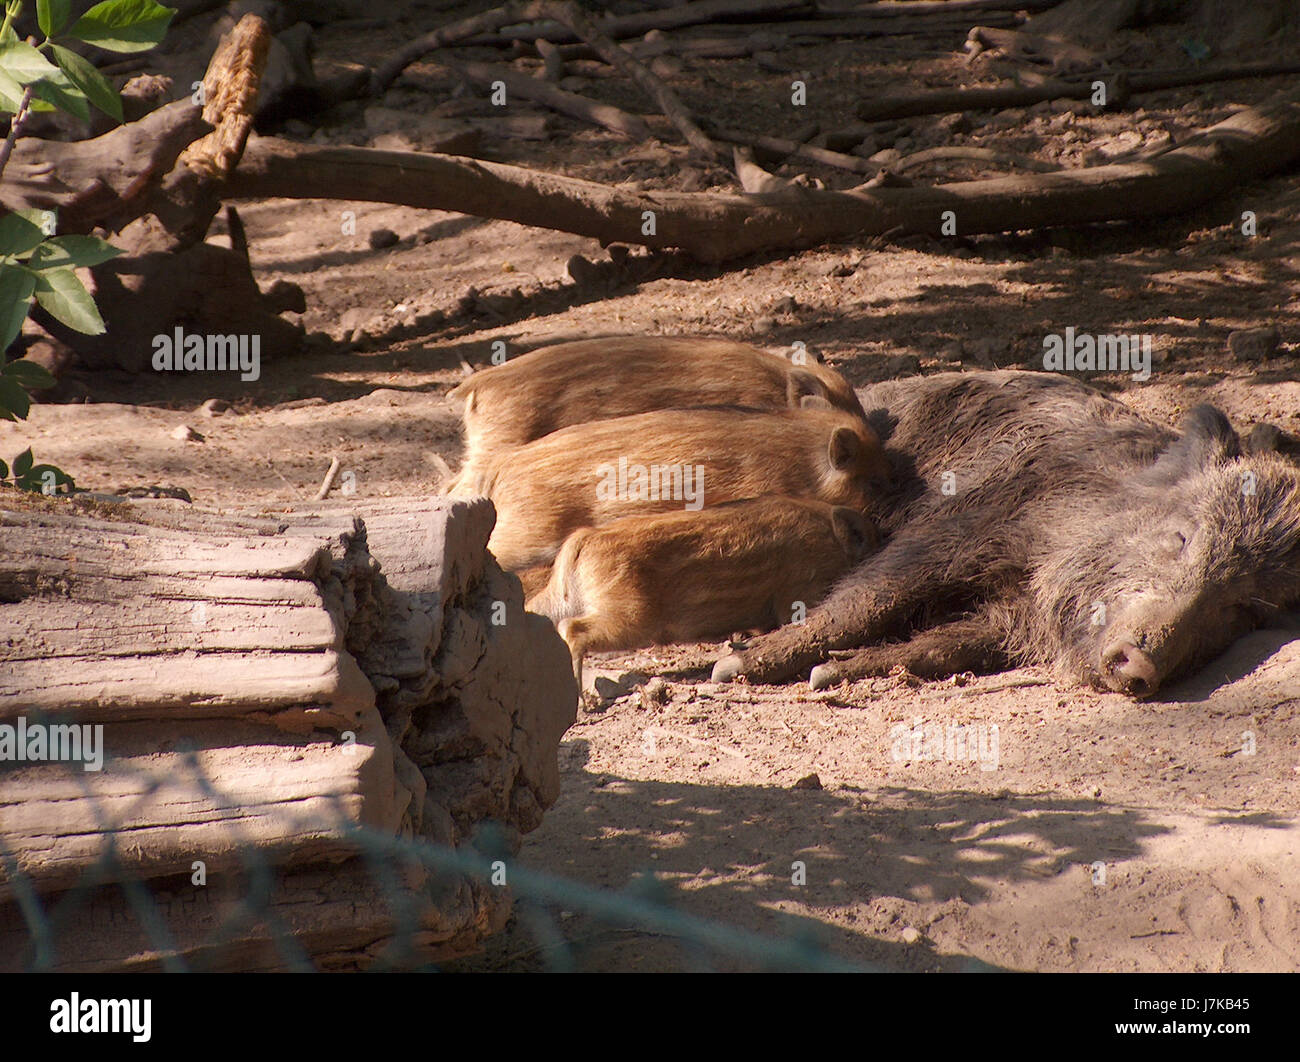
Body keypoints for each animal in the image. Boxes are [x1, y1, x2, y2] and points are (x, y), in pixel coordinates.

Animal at [711, 370, 1300, 699]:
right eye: (1181, 537)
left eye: (1244, 609)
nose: (1143, 662)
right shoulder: (961, 527)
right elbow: (862, 602)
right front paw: (729, 666)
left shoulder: (1005, 621)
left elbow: (940, 649)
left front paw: (827, 675)